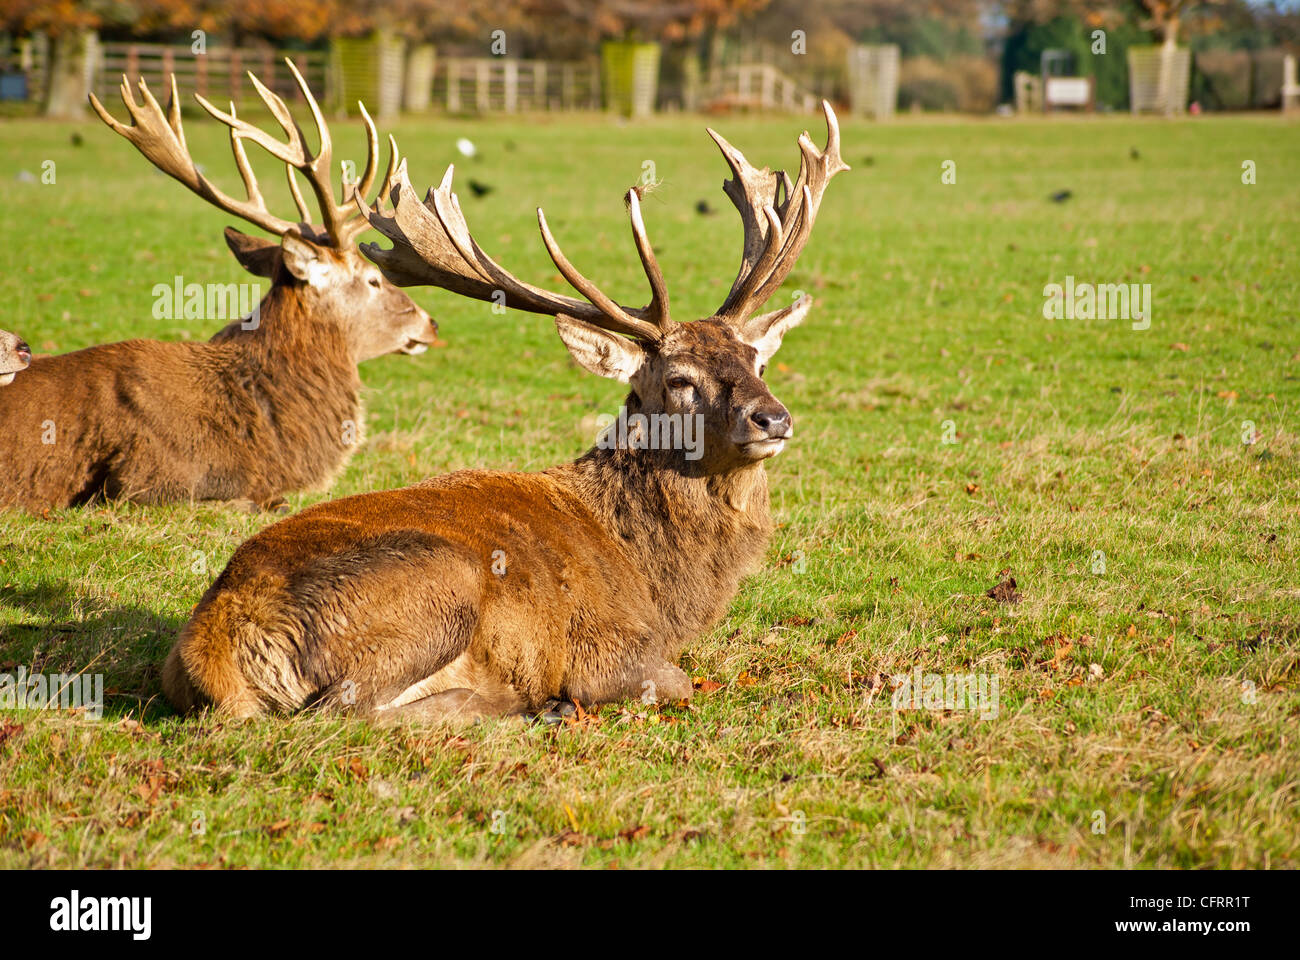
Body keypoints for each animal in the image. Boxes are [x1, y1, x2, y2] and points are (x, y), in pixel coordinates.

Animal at [163, 103, 848, 724]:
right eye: (679, 379)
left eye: (759, 361)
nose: (772, 418)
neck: (663, 589)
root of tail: (215, 645)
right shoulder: (604, 649)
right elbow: (674, 682)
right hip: (437, 585)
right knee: (337, 711)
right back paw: (517, 707)